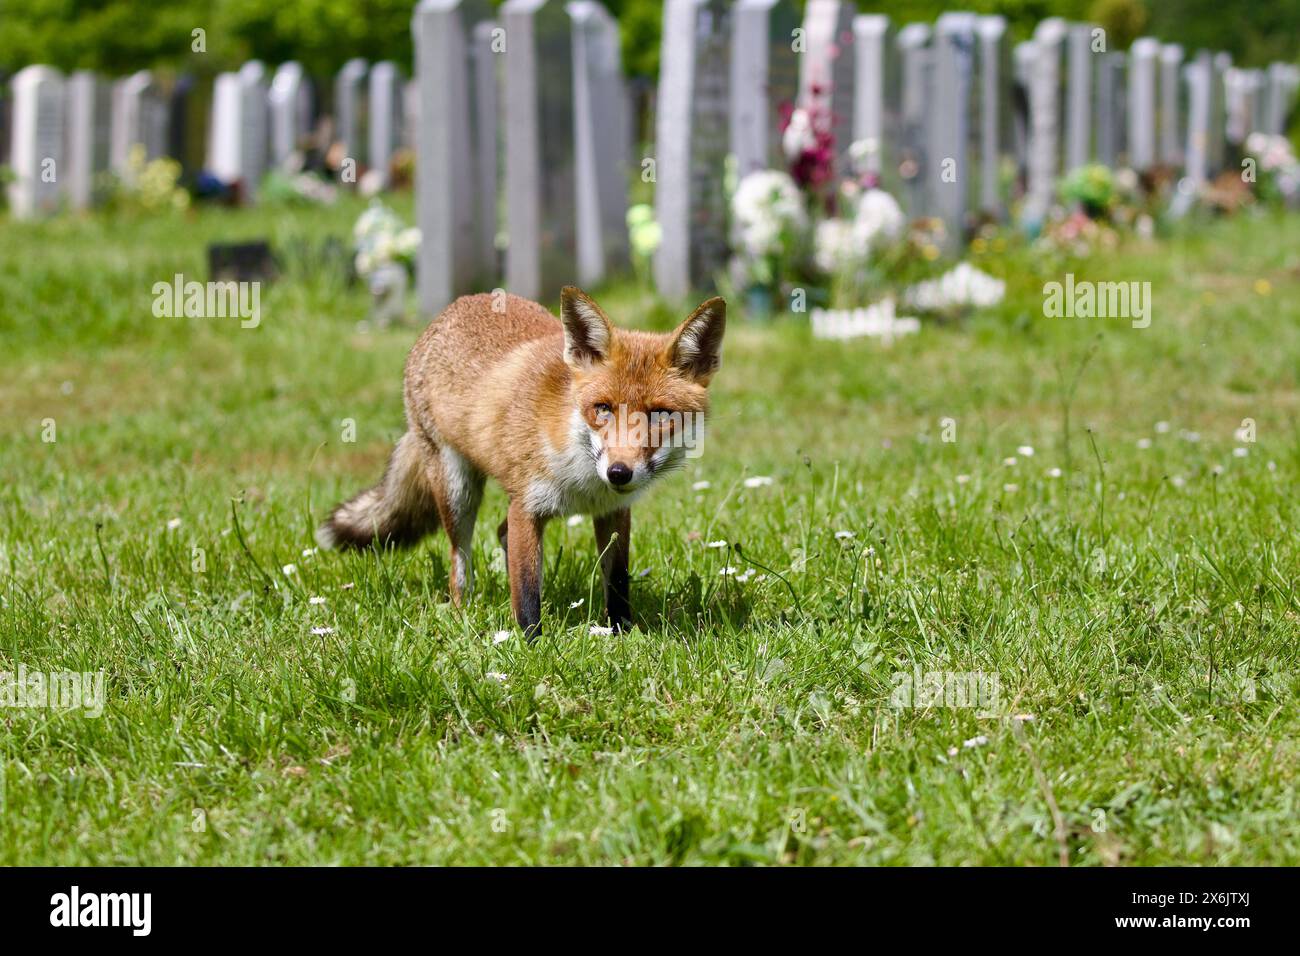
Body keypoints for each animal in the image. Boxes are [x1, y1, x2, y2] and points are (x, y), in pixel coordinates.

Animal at [316, 286, 726, 636]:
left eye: (660, 415)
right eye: (603, 409)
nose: (619, 473)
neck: (582, 479)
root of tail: (460, 303)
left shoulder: (613, 512)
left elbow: (617, 582)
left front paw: (621, 634)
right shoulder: (526, 507)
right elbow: (527, 593)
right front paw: (534, 648)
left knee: (499, 533)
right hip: (457, 493)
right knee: (459, 563)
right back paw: (461, 614)